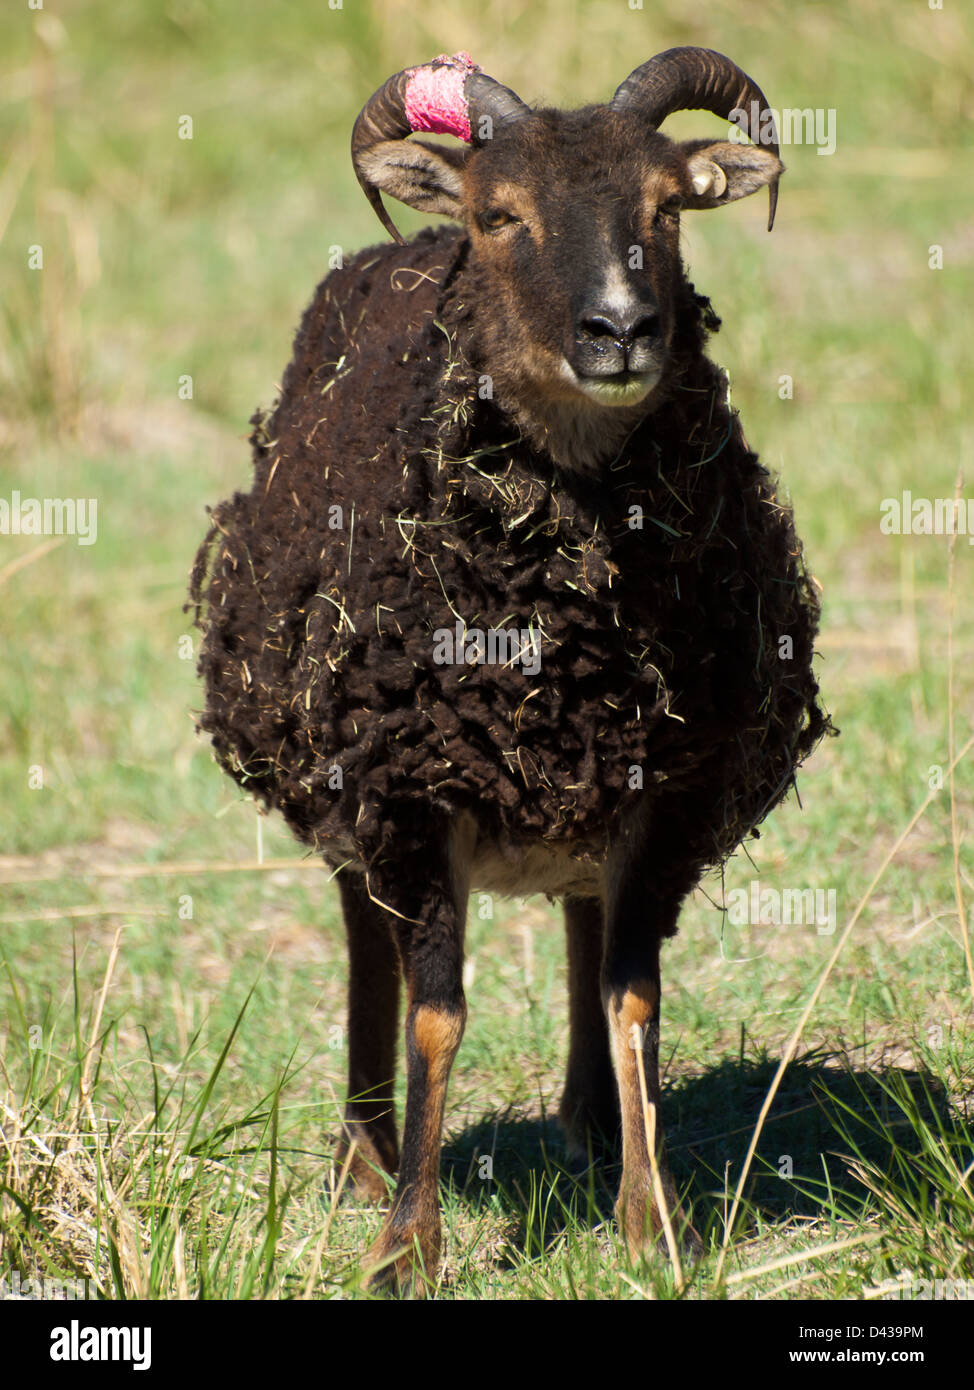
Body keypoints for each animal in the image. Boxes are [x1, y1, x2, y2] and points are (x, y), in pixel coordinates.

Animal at [188, 46, 831, 1296]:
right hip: (347, 786)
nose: (619, 328)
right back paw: (363, 1156)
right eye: (498, 218)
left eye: (666, 209)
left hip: (585, 781)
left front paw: (651, 1222)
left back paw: (588, 1124)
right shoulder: (409, 791)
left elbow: (631, 991)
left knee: (583, 922)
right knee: (365, 937)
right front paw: (406, 1245)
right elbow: (435, 1012)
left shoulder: (665, 787)